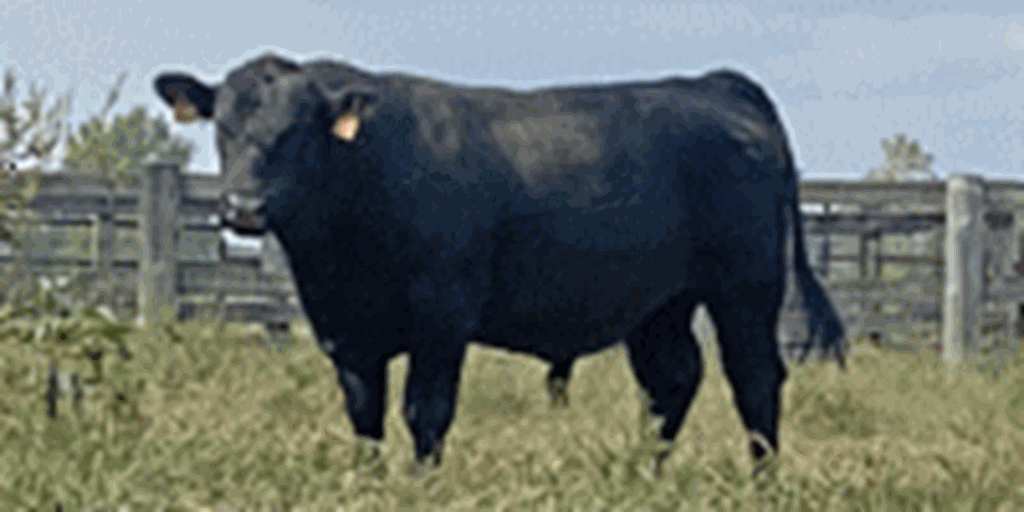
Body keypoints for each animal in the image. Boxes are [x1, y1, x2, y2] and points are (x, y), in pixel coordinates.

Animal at [154, 53, 846, 476]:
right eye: (221, 127)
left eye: (297, 130)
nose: (243, 206)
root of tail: (712, 84)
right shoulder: (347, 334)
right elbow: (365, 418)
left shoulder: (443, 316)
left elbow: (425, 413)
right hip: (660, 303)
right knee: (671, 381)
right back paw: (641, 475)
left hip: (744, 287)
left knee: (755, 380)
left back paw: (761, 482)